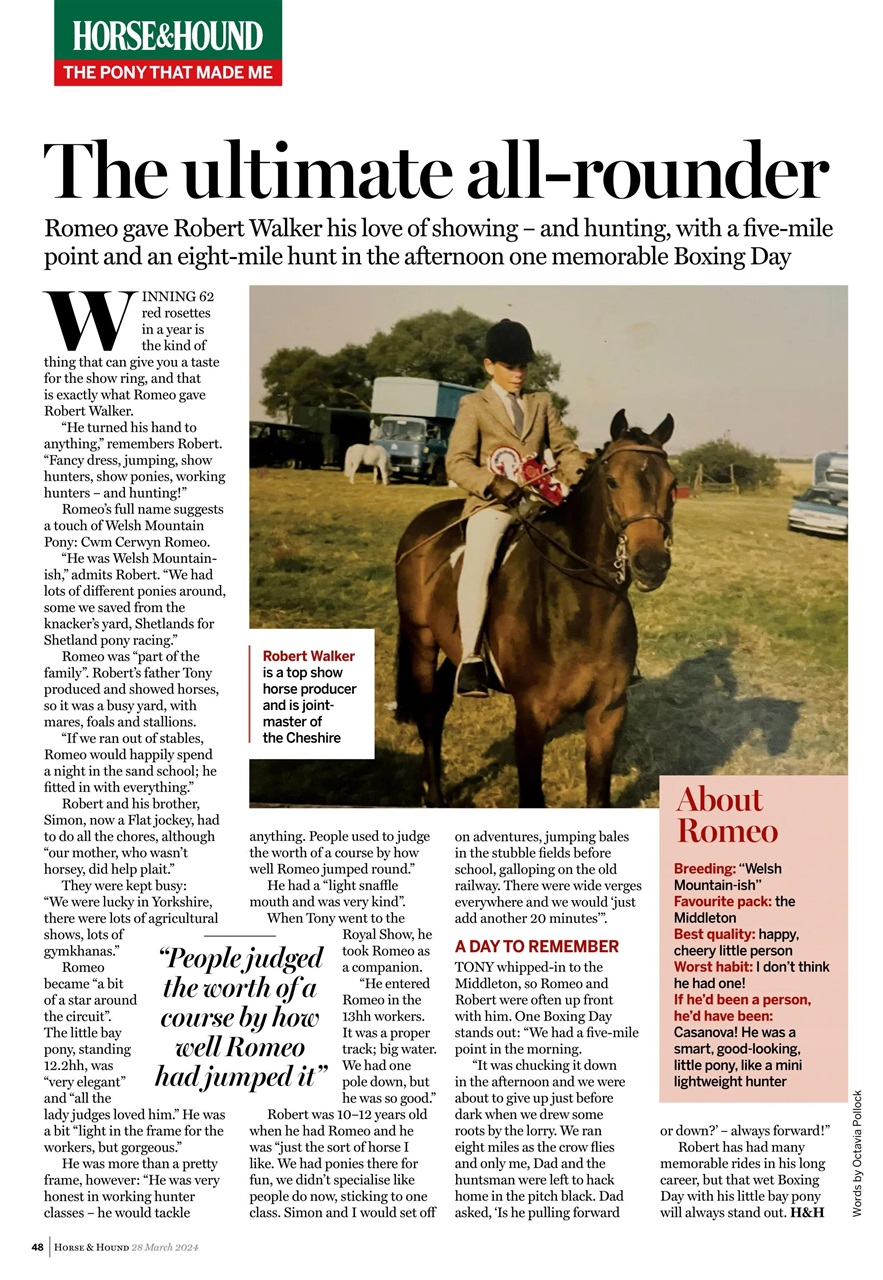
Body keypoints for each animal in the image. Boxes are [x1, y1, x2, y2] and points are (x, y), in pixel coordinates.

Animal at [394, 410, 676, 808]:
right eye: (612, 481)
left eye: (672, 485)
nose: (651, 563)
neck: (584, 606)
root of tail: (422, 524)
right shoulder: (531, 716)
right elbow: (531, 797)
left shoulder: (608, 714)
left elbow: (598, 797)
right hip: (421, 637)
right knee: (427, 711)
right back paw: (432, 795)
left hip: (458, 646)